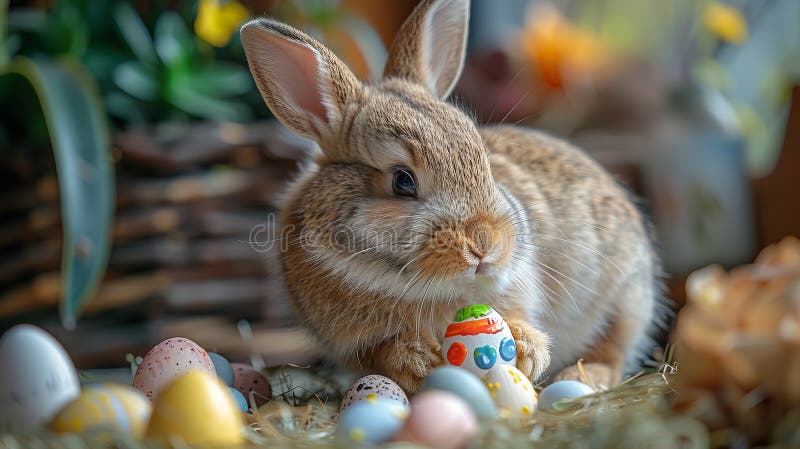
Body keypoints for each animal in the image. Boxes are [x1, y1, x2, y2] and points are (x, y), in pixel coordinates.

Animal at [240, 0, 662, 393]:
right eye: (402, 181)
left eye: (483, 159)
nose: (484, 244)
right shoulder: (352, 343)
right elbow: (380, 352)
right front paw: (417, 361)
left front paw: (526, 348)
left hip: (624, 296)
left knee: (614, 347)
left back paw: (584, 376)